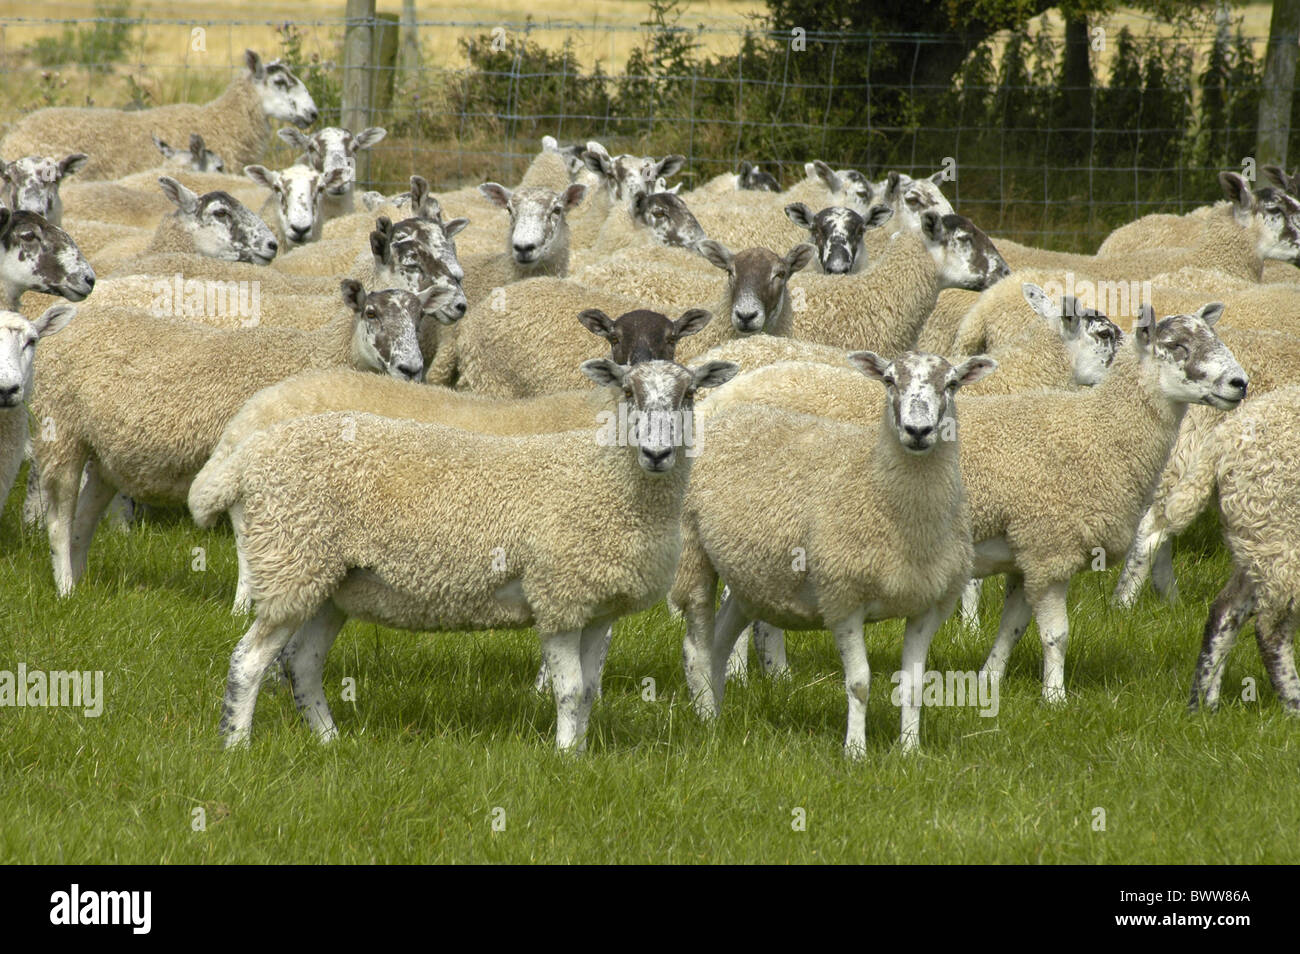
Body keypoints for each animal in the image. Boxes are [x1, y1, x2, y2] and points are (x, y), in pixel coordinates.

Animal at [30, 279, 441, 596]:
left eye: (420, 316)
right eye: (371, 313)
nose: (411, 369)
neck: (316, 358)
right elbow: (249, 544)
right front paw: (243, 607)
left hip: (104, 454)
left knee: (83, 520)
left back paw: (80, 584)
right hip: (60, 427)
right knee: (59, 518)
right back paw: (65, 589)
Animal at [186, 357, 739, 752]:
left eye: (689, 394)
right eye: (629, 391)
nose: (657, 454)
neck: (604, 476)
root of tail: (246, 458)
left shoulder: (596, 603)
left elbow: (586, 690)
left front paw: (580, 754)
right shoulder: (557, 595)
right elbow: (568, 689)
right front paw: (564, 758)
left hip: (330, 584)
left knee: (301, 664)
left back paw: (330, 742)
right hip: (291, 560)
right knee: (248, 661)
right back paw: (236, 747)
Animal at [670, 349, 997, 753]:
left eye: (951, 383)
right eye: (889, 380)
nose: (918, 431)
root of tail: (723, 415)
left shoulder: (929, 604)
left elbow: (914, 686)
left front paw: (910, 751)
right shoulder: (843, 597)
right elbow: (859, 683)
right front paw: (855, 751)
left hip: (751, 576)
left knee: (720, 642)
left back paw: (716, 716)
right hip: (692, 552)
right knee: (696, 647)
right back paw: (704, 719)